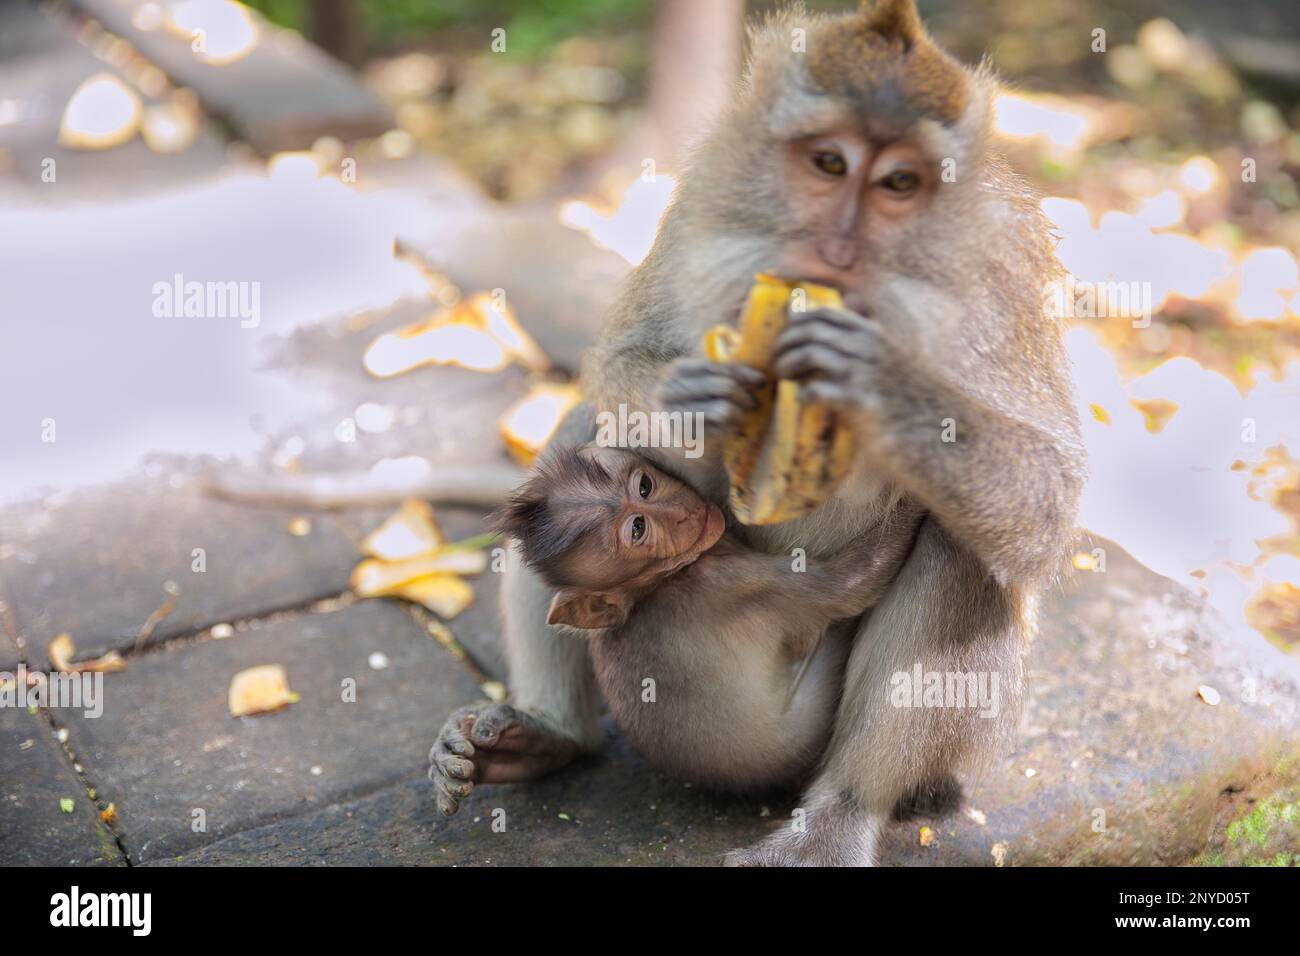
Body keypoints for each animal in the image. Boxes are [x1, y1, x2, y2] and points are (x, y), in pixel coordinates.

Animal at [427, 441, 923, 810]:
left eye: (644, 485)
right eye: (638, 530)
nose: (681, 515)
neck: (655, 586)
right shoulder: (731, 582)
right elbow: (851, 585)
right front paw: (914, 501)